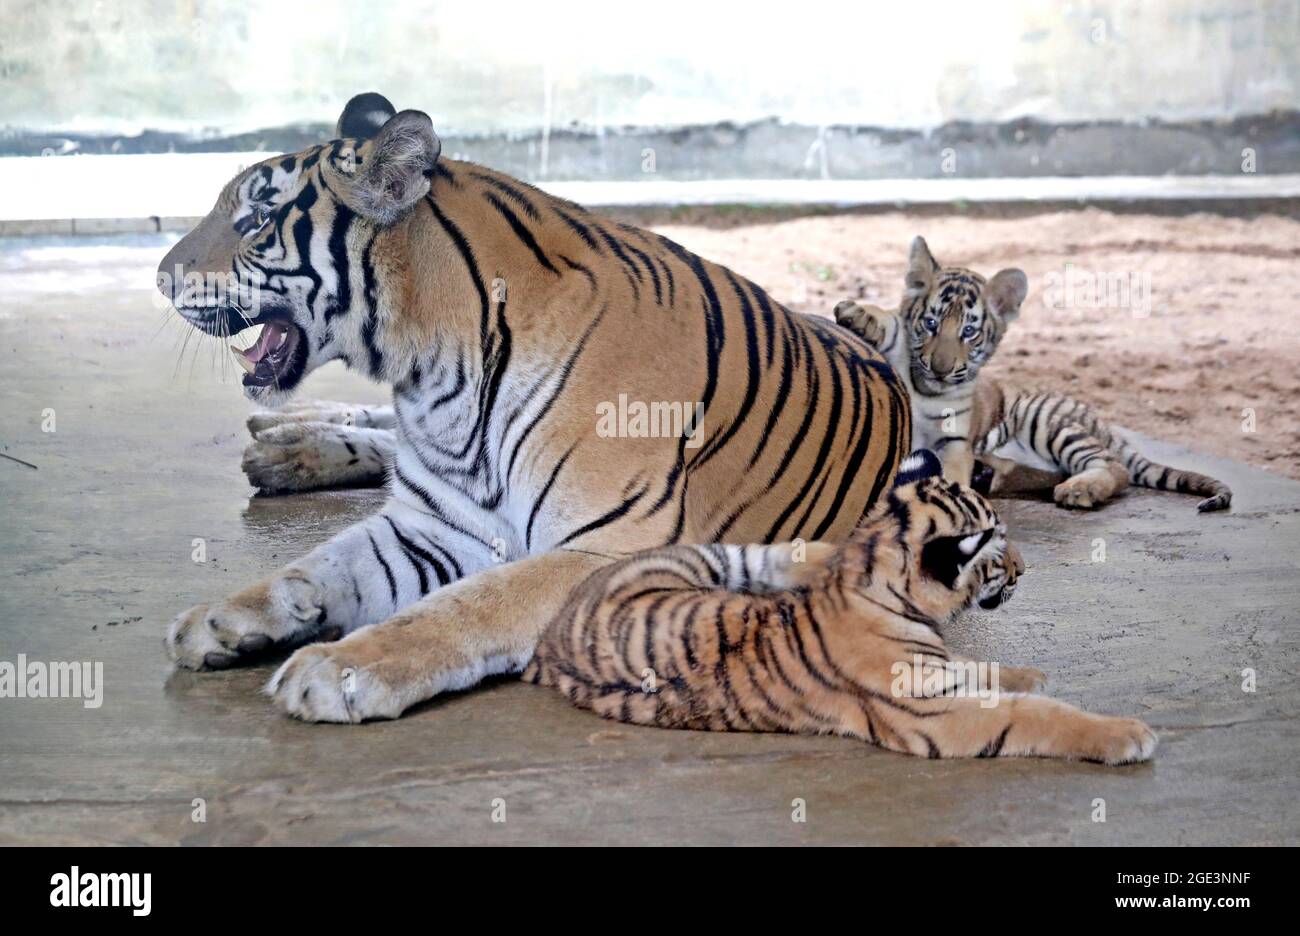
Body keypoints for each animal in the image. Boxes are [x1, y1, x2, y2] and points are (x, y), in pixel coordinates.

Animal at [157, 92, 911, 723]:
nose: (161, 278)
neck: (433, 374)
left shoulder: (608, 549)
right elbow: (316, 566)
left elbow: (464, 606)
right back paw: (285, 442)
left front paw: (336, 666)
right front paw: (223, 618)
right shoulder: (431, 523)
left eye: (255, 220)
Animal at [525, 450, 1157, 765]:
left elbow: (983, 668)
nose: (1025, 569)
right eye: (997, 546)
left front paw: (1029, 674)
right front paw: (1127, 735)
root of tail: (553, 627)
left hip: (725, 561)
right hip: (705, 557)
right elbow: (1034, 716)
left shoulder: (941, 676)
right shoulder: (938, 714)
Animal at [833, 236, 1232, 512]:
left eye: (968, 332)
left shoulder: (955, 442)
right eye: (930, 323)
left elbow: (950, 472)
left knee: (1114, 466)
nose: (941, 369)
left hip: (1048, 423)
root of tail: (1101, 422)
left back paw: (1079, 489)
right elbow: (893, 326)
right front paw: (858, 313)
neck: (925, 390)